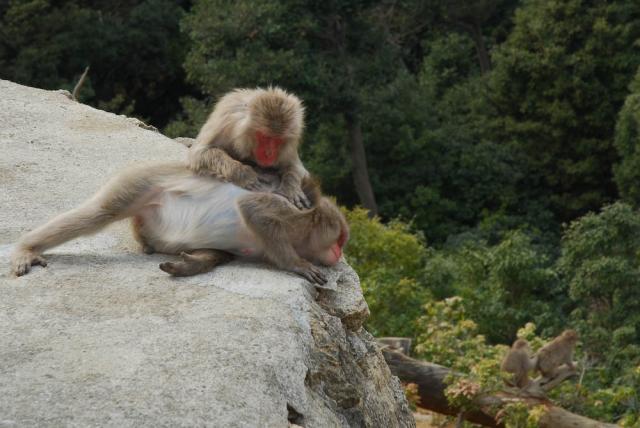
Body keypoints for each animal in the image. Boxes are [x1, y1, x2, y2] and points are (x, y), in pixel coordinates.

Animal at [10, 163, 348, 284]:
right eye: (341, 239)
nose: (339, 253)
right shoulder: (292, 211)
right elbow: (253, 210)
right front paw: (297, 265)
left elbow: (221, 253)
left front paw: (188, 266)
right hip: (140, 181)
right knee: (98, 212)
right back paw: (27, 246)